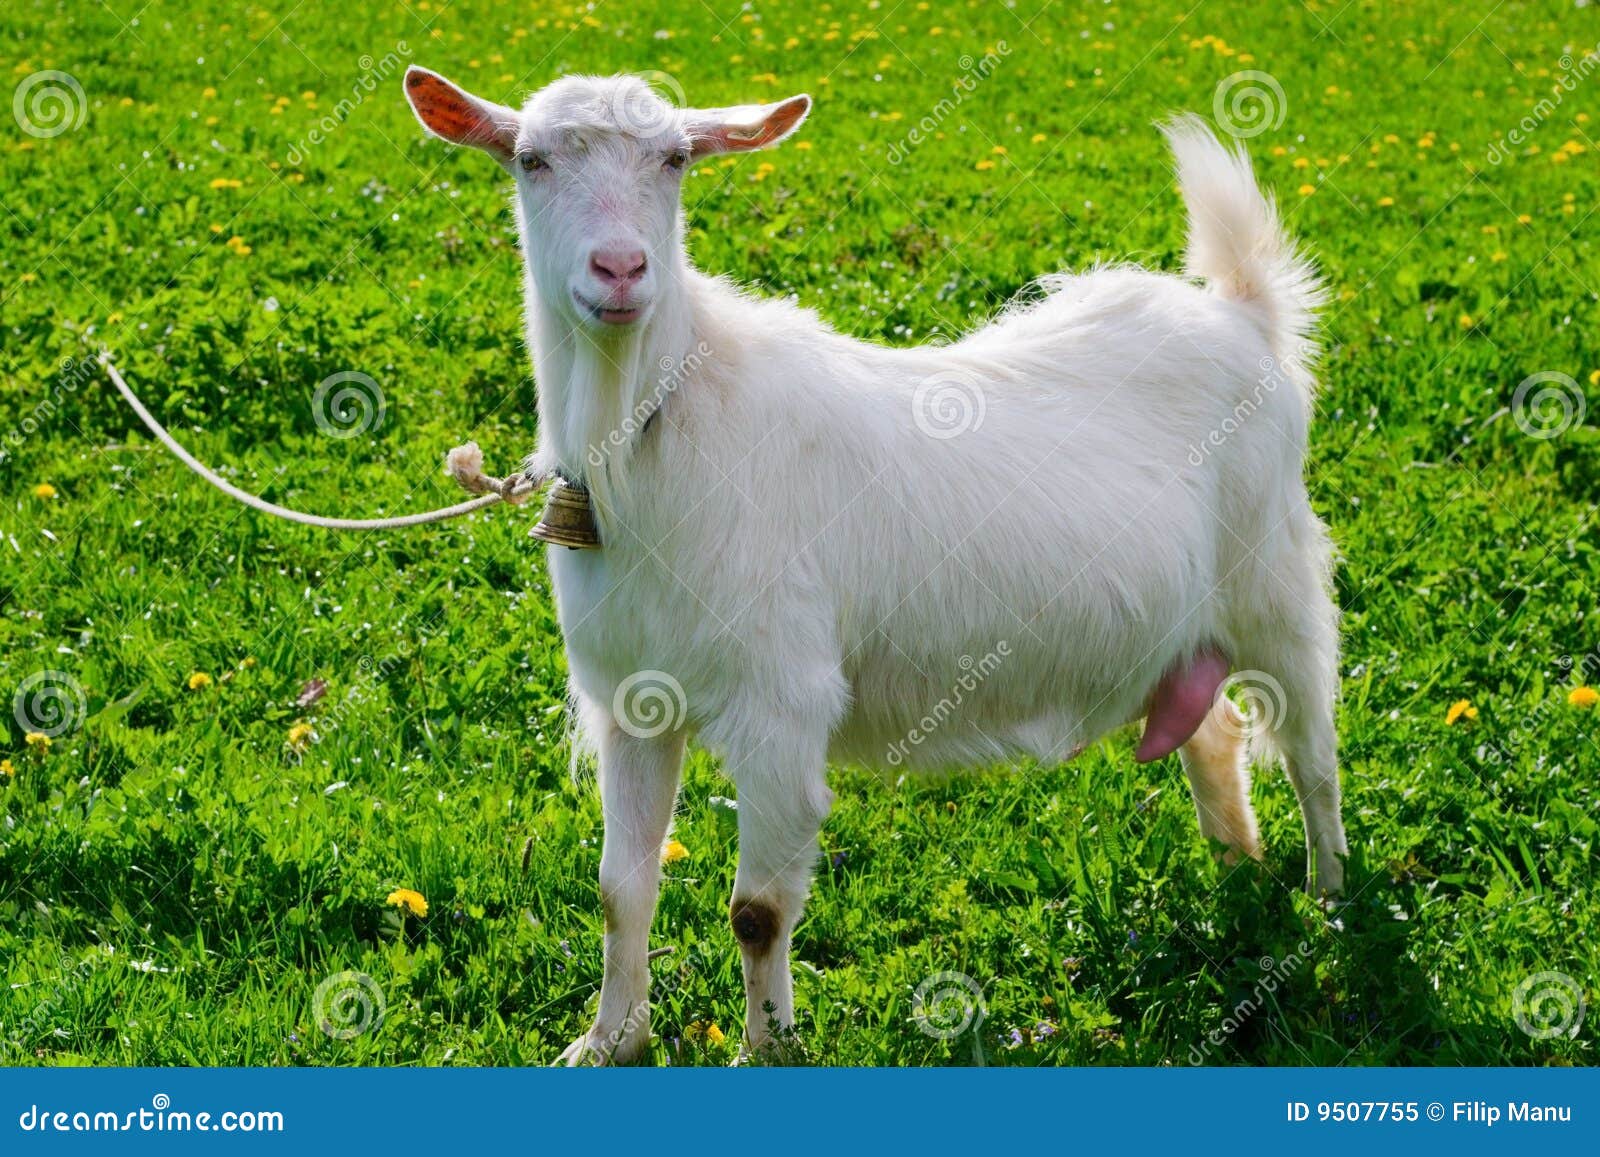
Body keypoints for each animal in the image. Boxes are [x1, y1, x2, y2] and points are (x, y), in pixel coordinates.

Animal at [403, 66, 1347, 1065]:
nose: (620, 269)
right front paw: (608, 1040)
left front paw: (766, 1049)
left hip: (1274, 582)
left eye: (675, 160)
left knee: (1311, 749)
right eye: (530, 160)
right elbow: (621, 887)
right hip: (1179, 629)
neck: (647, 434)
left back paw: (1329, 901)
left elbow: (757, 912)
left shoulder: (782, 703)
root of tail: (1242, 312)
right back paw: (1236, 872)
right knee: (1214, 731)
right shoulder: (632, 701)